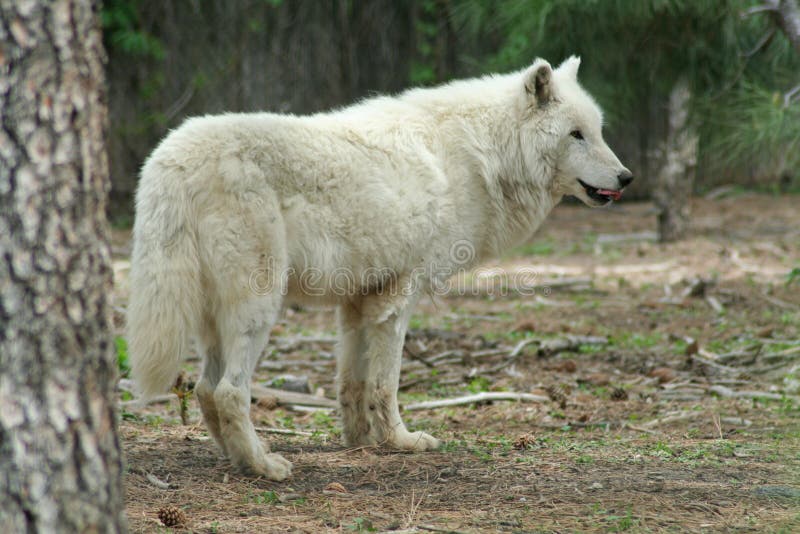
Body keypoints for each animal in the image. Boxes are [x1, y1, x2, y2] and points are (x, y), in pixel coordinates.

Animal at [127, 56, 632, 480]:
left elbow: (352, 383)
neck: (482, 157)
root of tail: (169, 159)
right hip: (258, 309)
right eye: (575, 135)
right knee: (230, 393)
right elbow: (386, 385)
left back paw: (236, 459)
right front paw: (400, 440)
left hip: (216, 319)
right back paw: (265, 466)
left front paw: (359, 443)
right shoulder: (399, 297)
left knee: (204, 390)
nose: (626, 178)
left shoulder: (357, 303)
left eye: (598, 131)